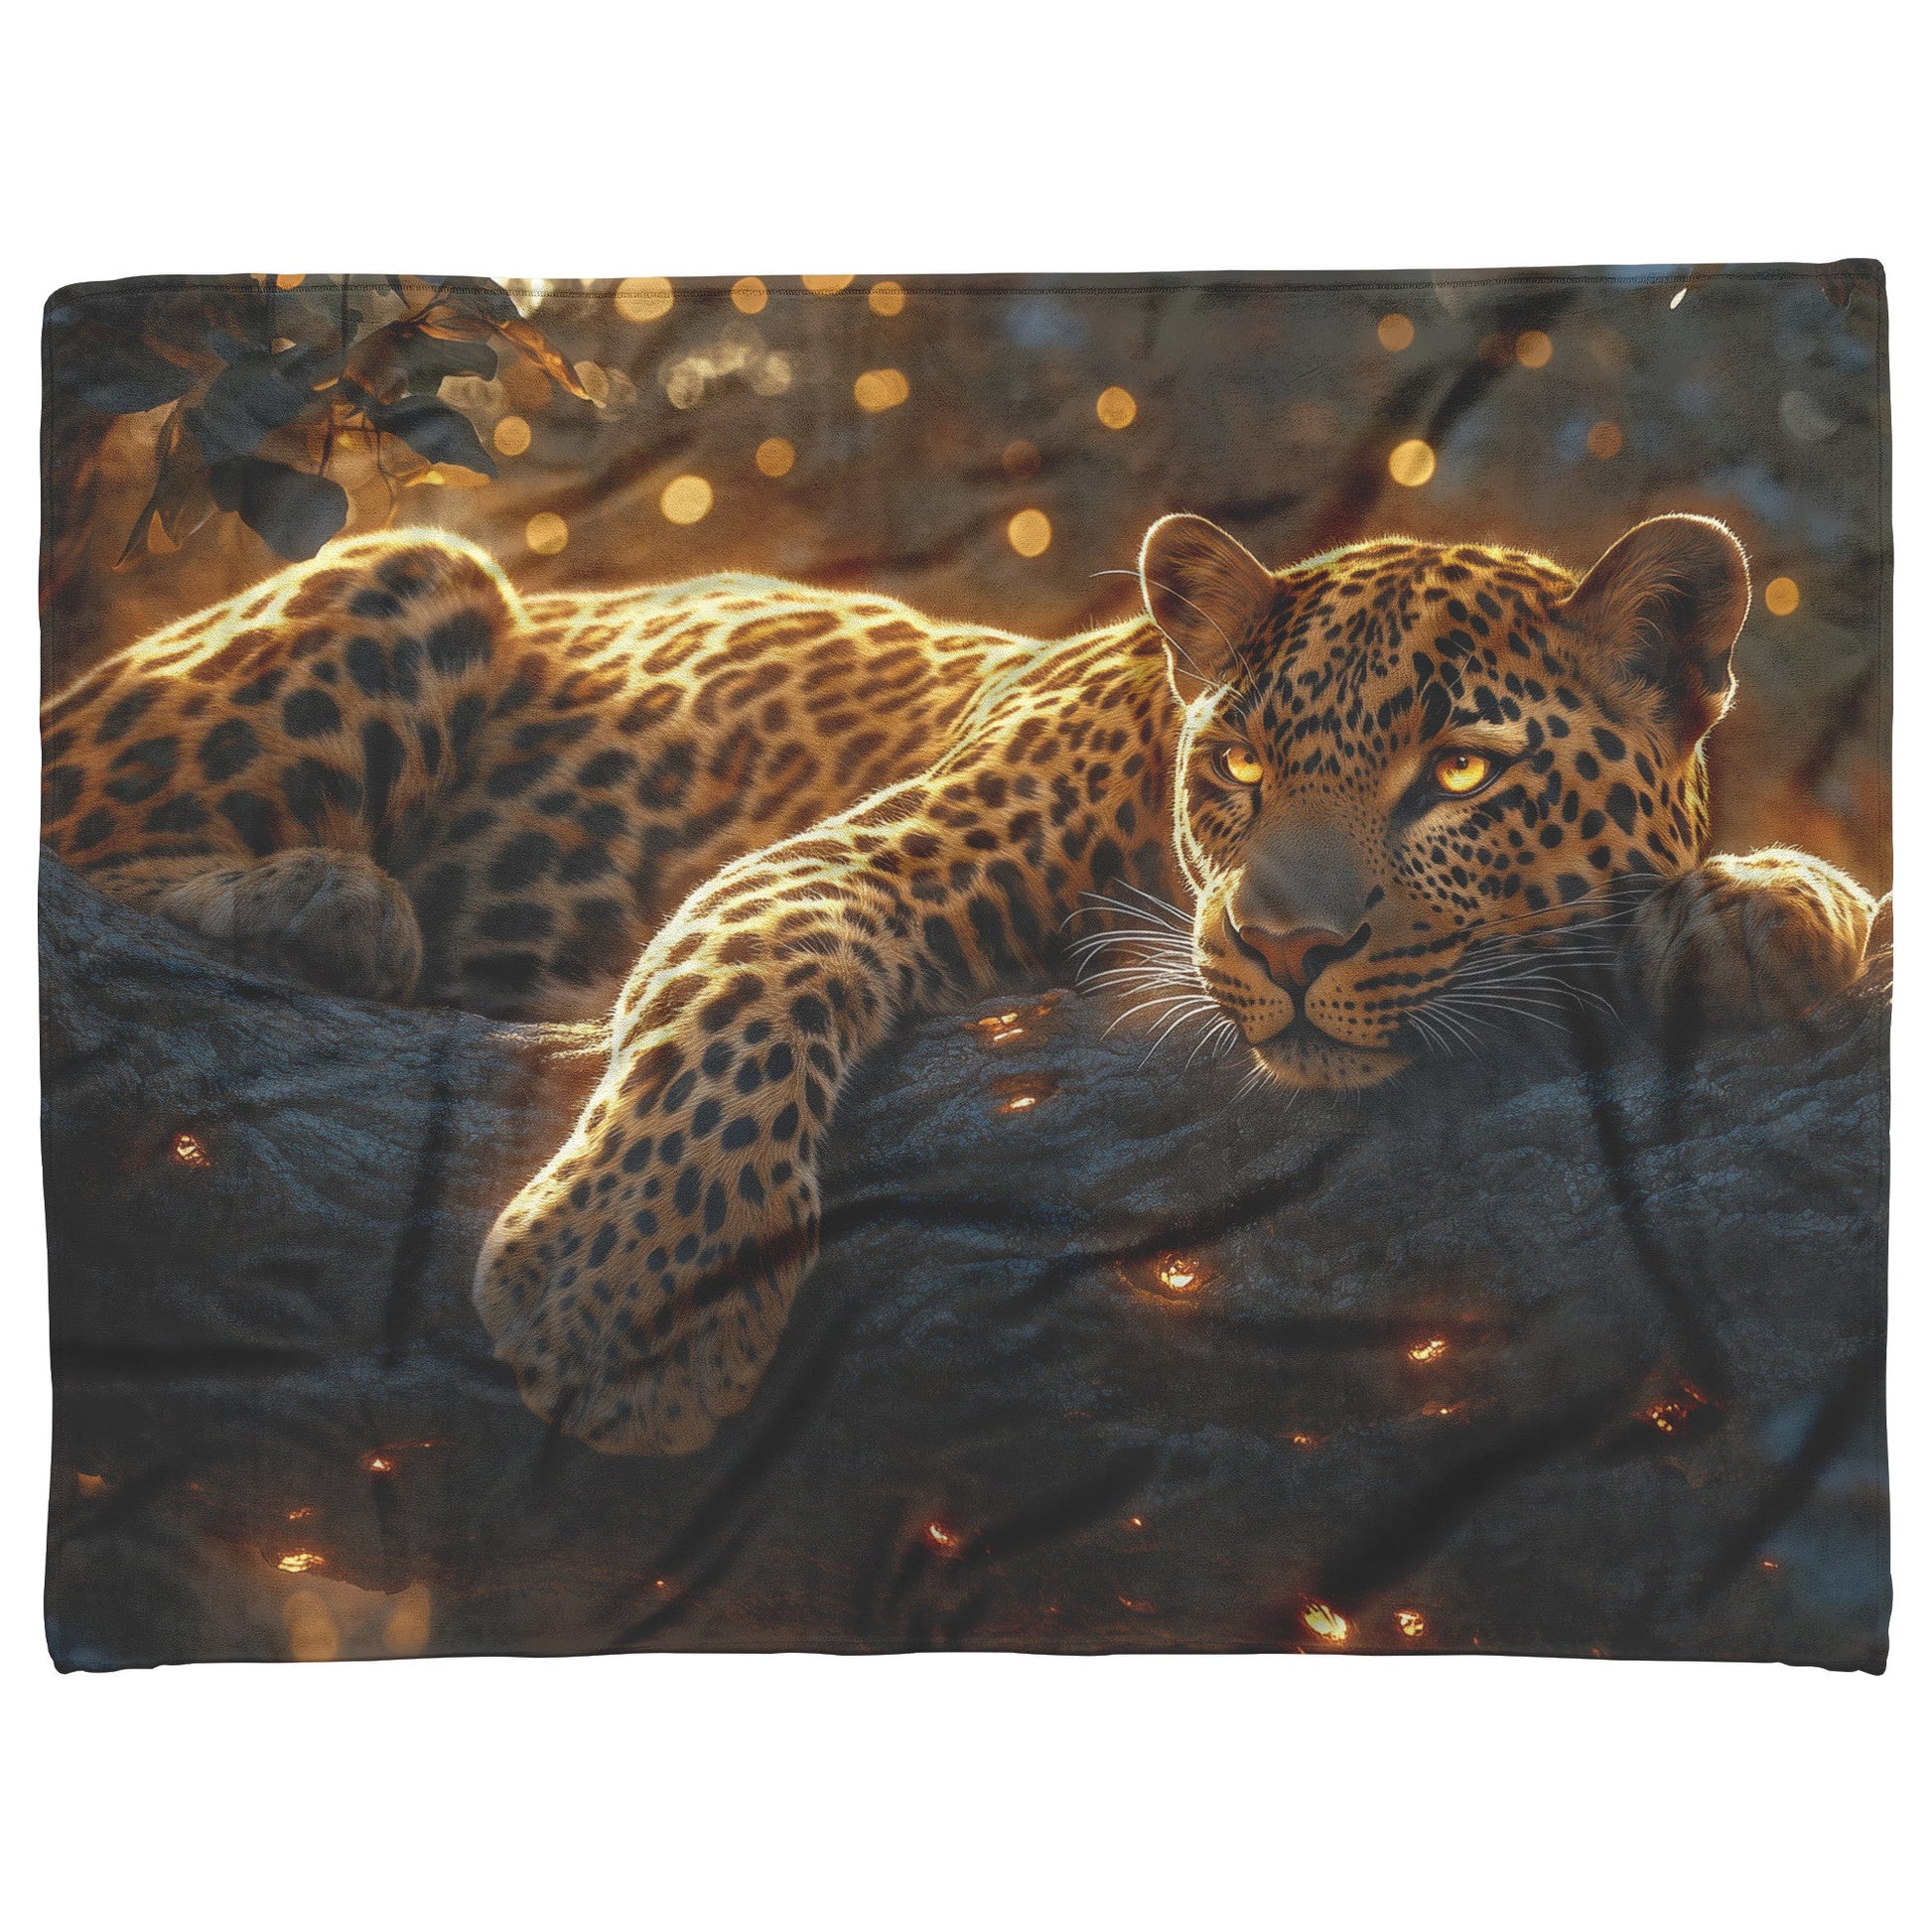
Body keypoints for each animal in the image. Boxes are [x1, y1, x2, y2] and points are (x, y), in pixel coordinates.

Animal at [40, 511, 1878, 1455]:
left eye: (1461, 774)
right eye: (1243, 764)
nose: (1283, 942)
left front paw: (1771, 907)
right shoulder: (851, 861)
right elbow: (745, 986)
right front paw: (634, 1292)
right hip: (410, 565)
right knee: (77, 849)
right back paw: (336, 907)